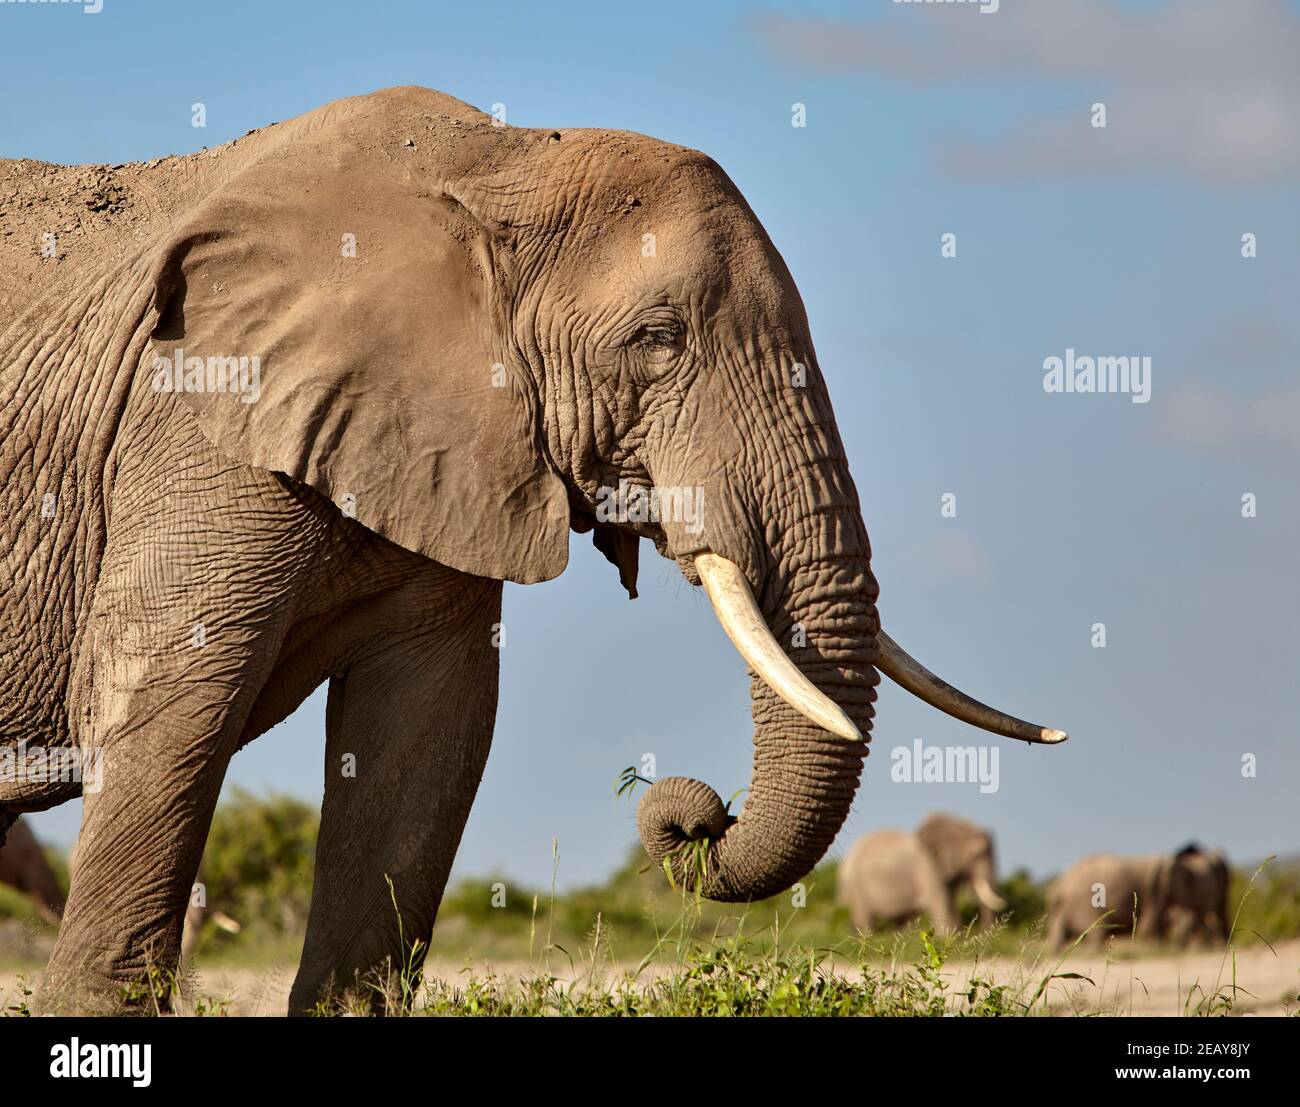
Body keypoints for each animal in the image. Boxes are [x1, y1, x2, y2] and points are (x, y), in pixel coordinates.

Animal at [836, 813, 1006, 935]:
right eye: (977, 855)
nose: (984, 932)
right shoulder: (928, 867)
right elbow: (941, 902)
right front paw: (948, 936)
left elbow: (950, 900)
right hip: (855, 885)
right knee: (864, 916)